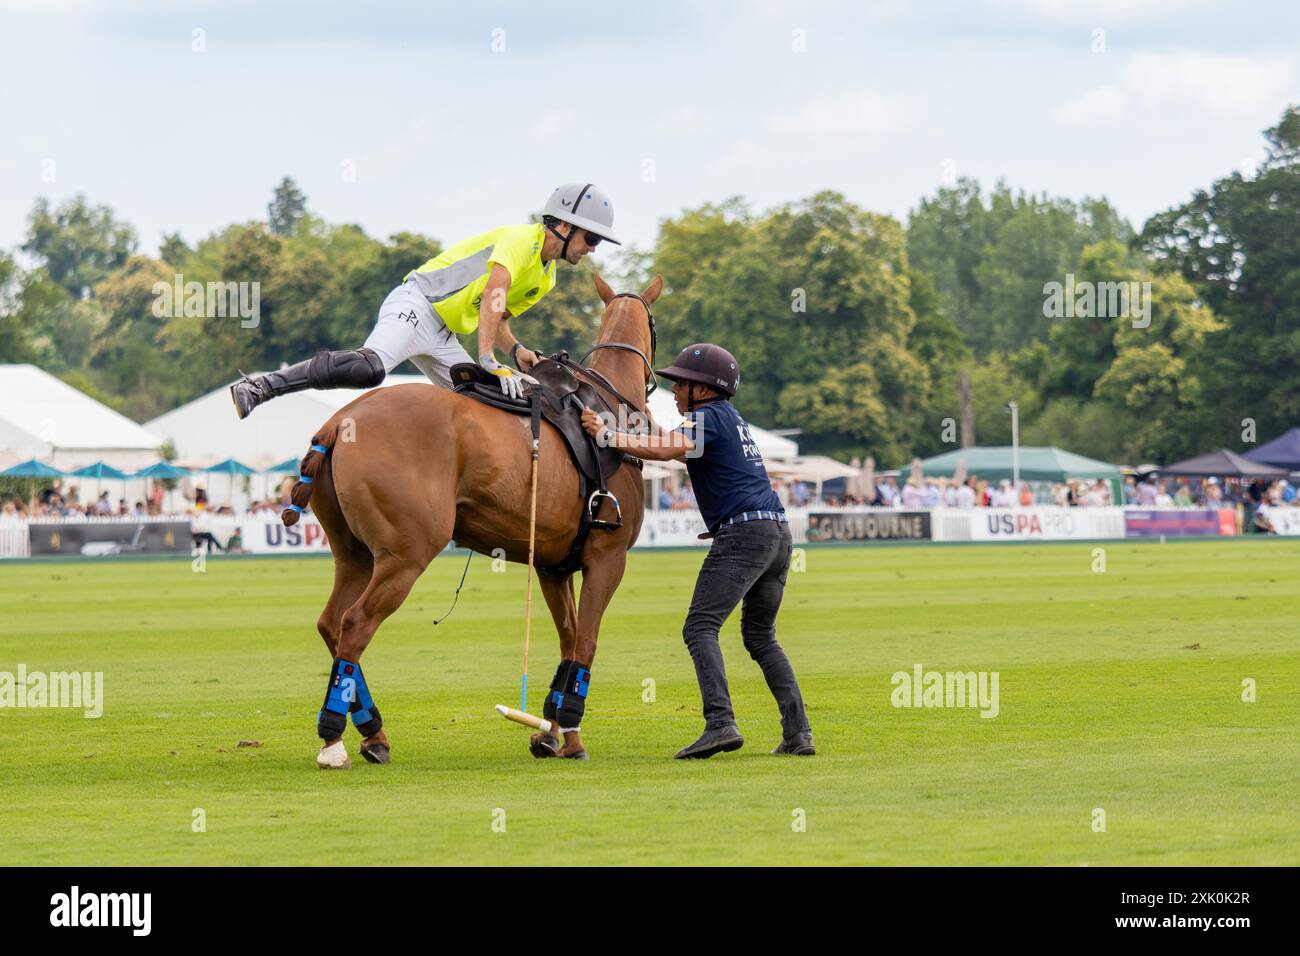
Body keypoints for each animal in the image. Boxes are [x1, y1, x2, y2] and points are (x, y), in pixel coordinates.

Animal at [281, 273, 662, 767]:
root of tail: (339, 420)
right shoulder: (607, 559)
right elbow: (586, 644)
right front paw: (572, 737)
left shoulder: (553, 567)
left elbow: (568, 640)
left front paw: (549, 732)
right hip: (405, 555)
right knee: (355, 624)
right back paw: (336, 737)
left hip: (355, 554)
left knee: (331, 622)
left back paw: (370, 731)